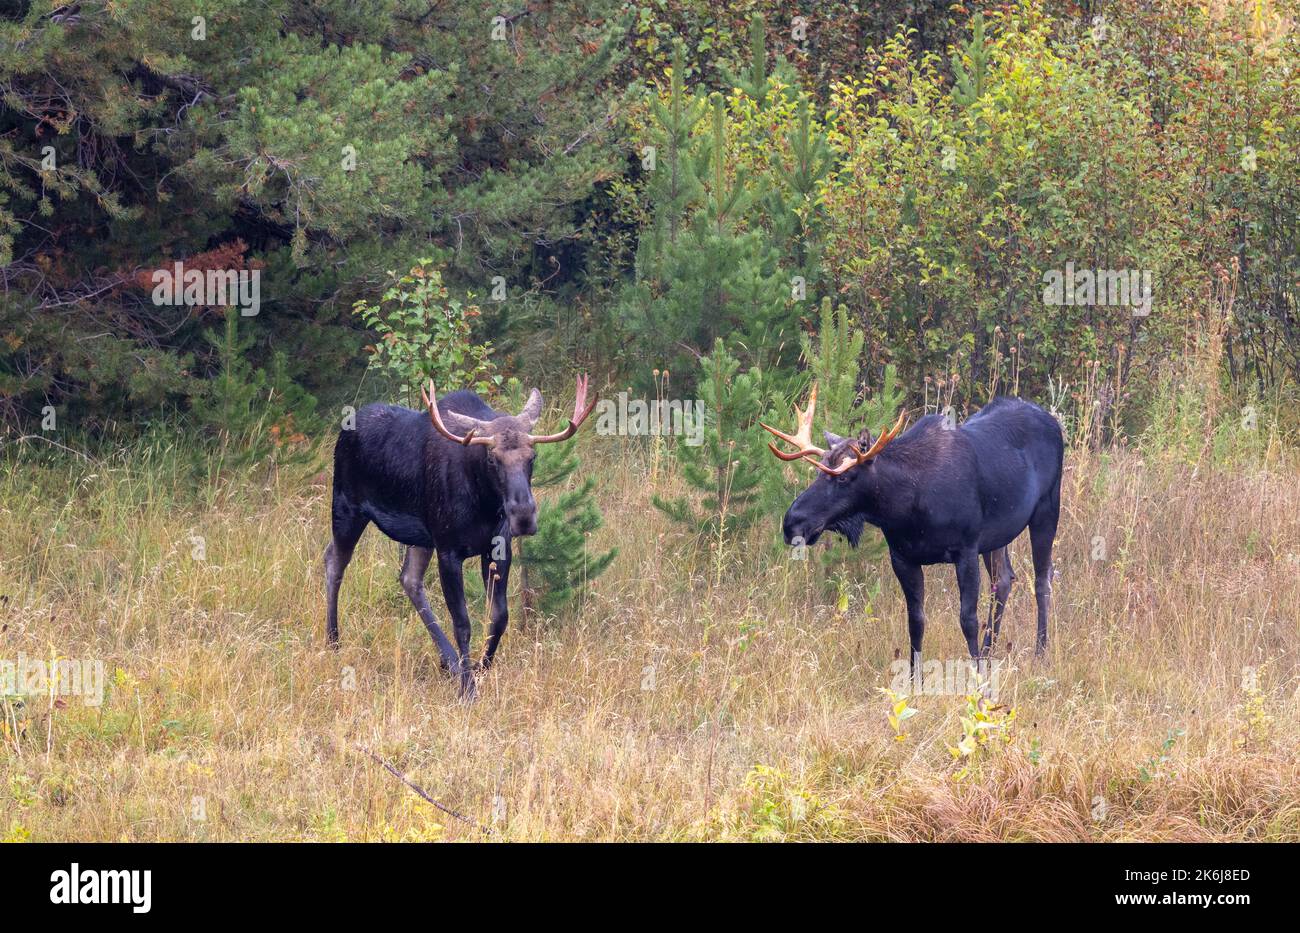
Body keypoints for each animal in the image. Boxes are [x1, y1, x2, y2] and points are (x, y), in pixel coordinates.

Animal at [324, 375, 597, 698]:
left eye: (533, 456)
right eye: (492, 458)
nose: (523, 515)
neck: (485, 503)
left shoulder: (497, 547)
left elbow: (499, 617)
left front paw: (480, 667)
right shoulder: (449, 550)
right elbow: (463, 623)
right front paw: (468, 690)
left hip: (421, 536)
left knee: (409, 579)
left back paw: (450, 661)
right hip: (347, 508)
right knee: (334, 562)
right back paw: (333, 640)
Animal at [762, 385, 1063, 684]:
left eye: (844, 477)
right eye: (818, 470)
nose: (792, 523)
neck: (907, 505)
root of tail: (1051, 420)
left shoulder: (966, 549)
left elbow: (967, 619)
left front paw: (977, 677)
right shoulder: (903, 557)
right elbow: (915, 621)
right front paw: (913, 679)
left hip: (1046, 509)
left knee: (1041, 581)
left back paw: (1039, 653)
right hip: (996, 536)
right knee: (1003, 580)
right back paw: (989, 653)